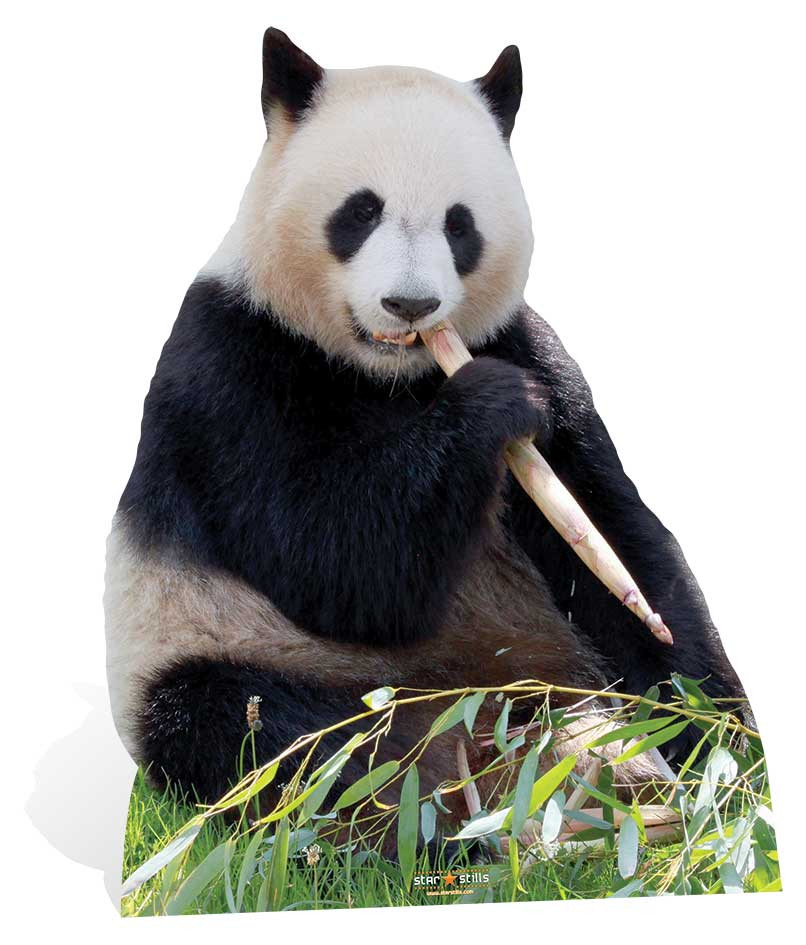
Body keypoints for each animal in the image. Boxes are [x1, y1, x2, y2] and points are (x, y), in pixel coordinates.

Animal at [105, 28, 750, 808]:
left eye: (459, 224)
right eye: (360, 212)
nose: (410, 305)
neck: (389, 375)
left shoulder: (526, 345)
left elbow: (612, 543)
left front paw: (713, 735)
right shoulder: (228, 366)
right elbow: (335, 559)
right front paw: (492, 404)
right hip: (216, 645)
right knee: (266, 737)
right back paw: (444, 799)